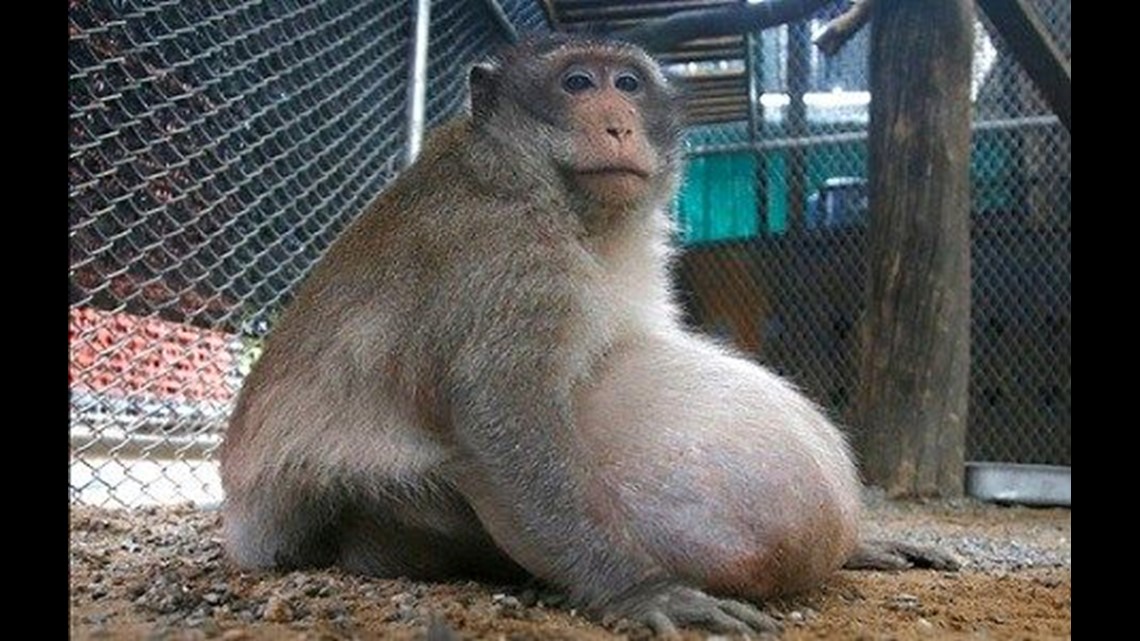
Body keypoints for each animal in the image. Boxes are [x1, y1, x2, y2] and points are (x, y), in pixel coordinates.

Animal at [220, 34, 952, 636]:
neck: (559, 200)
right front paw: (638, 589)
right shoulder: (506, 255)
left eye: (626, 84)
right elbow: (499, 412)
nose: (617, 121)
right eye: (577, 83)